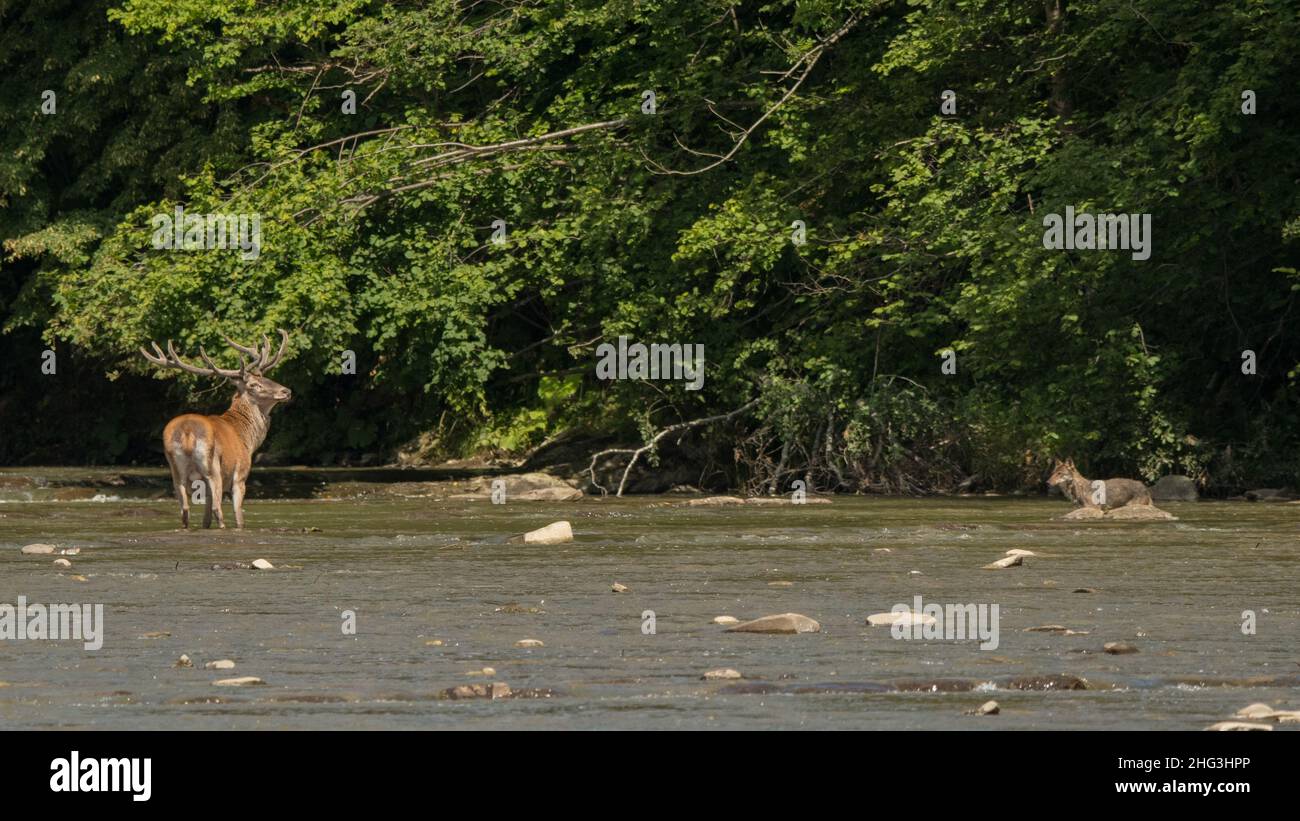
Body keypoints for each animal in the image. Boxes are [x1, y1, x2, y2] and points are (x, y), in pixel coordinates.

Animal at [140, 330, 292, 529]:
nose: (286, 391)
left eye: (265, 378)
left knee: (185, 511)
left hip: (175, 471)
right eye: (254, 385)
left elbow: (205, 519)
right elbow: (239, 516)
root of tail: (188, 431)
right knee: (217, 509)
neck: (247, 439)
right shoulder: (240, 475)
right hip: (213, 469)